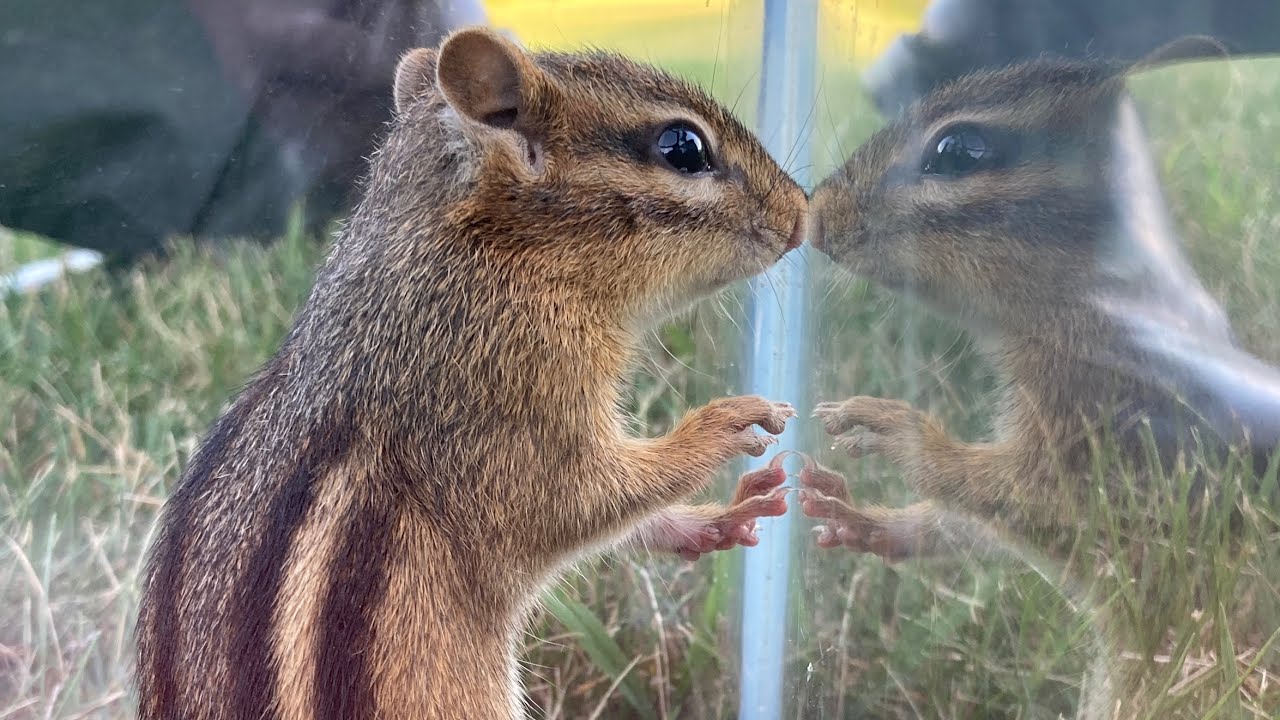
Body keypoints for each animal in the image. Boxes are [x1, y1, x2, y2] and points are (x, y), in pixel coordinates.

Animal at [135, 26, 807, 720]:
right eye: (684, 147)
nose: (803, 213)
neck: (479, 257)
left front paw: (713, 520)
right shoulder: (505, 410)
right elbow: (584, 501)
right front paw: (722, 426)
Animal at [803, 42, 1279, 719]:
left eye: (958, 150)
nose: (818, 211)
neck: (1111, 305)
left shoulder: (1105, 454)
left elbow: (1022, 500)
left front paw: (897, 430)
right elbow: (975, 523)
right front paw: (870, 521)